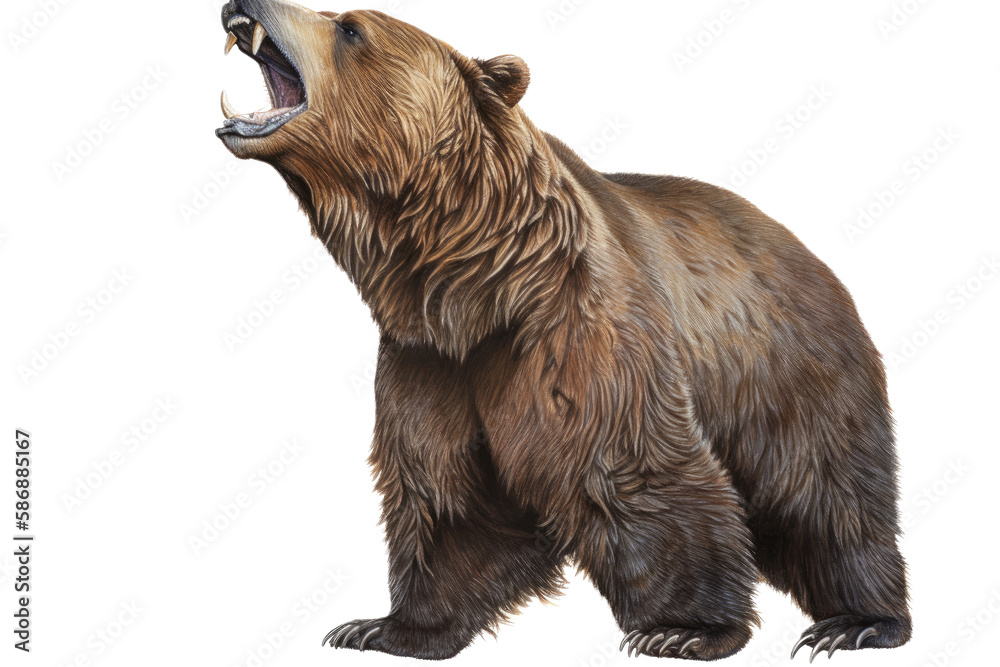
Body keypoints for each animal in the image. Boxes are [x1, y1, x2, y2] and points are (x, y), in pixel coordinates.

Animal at [216, 0, 912, 661]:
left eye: (350, 28)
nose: (241, 1)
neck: (466, 283)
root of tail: (803, 250)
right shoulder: (431, 362)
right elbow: (445, 492)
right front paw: (385, 627)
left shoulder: (574, 332)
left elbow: (629, 464)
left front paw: (685, 630)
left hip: (786, 369)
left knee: (827, 496)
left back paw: (858, 620)